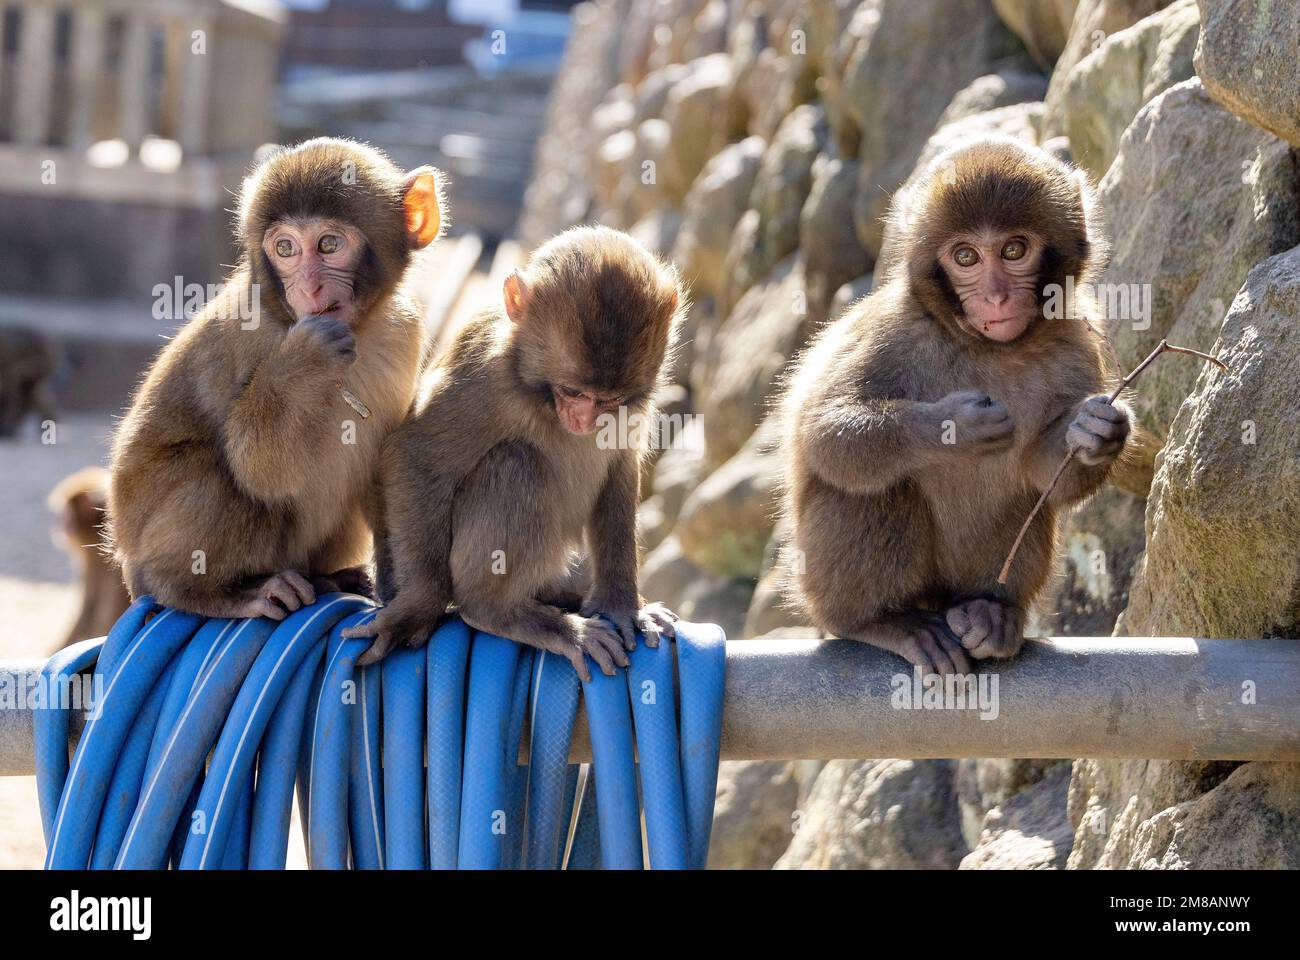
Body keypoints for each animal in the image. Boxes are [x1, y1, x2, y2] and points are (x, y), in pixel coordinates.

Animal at [107, 138, 444, 621]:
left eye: (328, 244)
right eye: (285, 249)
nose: (309, 288)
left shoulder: (404, 328)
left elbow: (386, 463)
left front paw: (404, 593)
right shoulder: (249, 331)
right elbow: (258, 467)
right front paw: (304, 362)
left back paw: (330, 579)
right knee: (218, 477)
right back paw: (204, 592)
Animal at [343, 226, 682, 680]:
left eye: (611, 401)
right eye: (573, 392)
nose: (584, 421)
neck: (537, 392)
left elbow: (620, 470)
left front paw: (620, 605)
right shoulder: (485, 378)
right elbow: (415, 458)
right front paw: (418, 607)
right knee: (517, 463)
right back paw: (501, 612)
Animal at [779, 137, 1132, 676]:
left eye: (1013, 250)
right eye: (965, 256)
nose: (996, 296)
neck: (990, 347)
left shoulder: (1078, 342)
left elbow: (1045, 471)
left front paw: (1097, 432)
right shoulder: (894, 329)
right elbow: (823, 433)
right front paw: (955, 428)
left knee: (1021, 500)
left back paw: (992, 612)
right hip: (822, 586)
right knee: (876, 487)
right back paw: (883, 622)